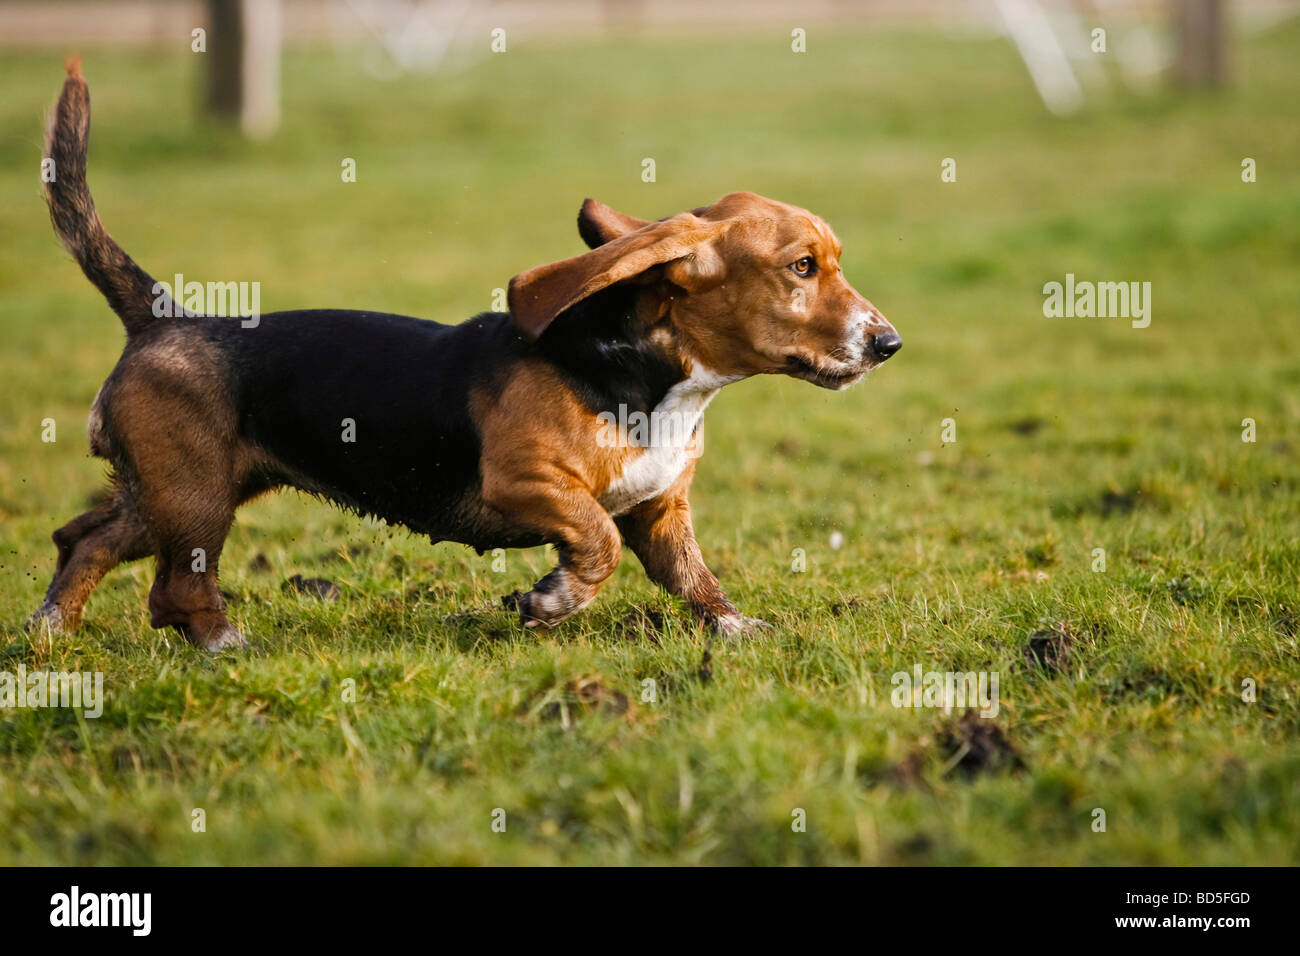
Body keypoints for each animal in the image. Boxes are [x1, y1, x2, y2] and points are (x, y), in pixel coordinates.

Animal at [32, 63, 904, 655]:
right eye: (802, 267)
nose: (888, 343)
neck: (658, 383)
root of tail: (163, 317)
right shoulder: (528, 482)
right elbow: (597, 541)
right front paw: (551, 601)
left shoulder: (663, 511)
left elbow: (695, 578)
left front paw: (735, 626)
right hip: (196, 502)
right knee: (175, 590)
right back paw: (222, 644)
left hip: (168, 497)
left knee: (85, 541)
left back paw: (49, 635)